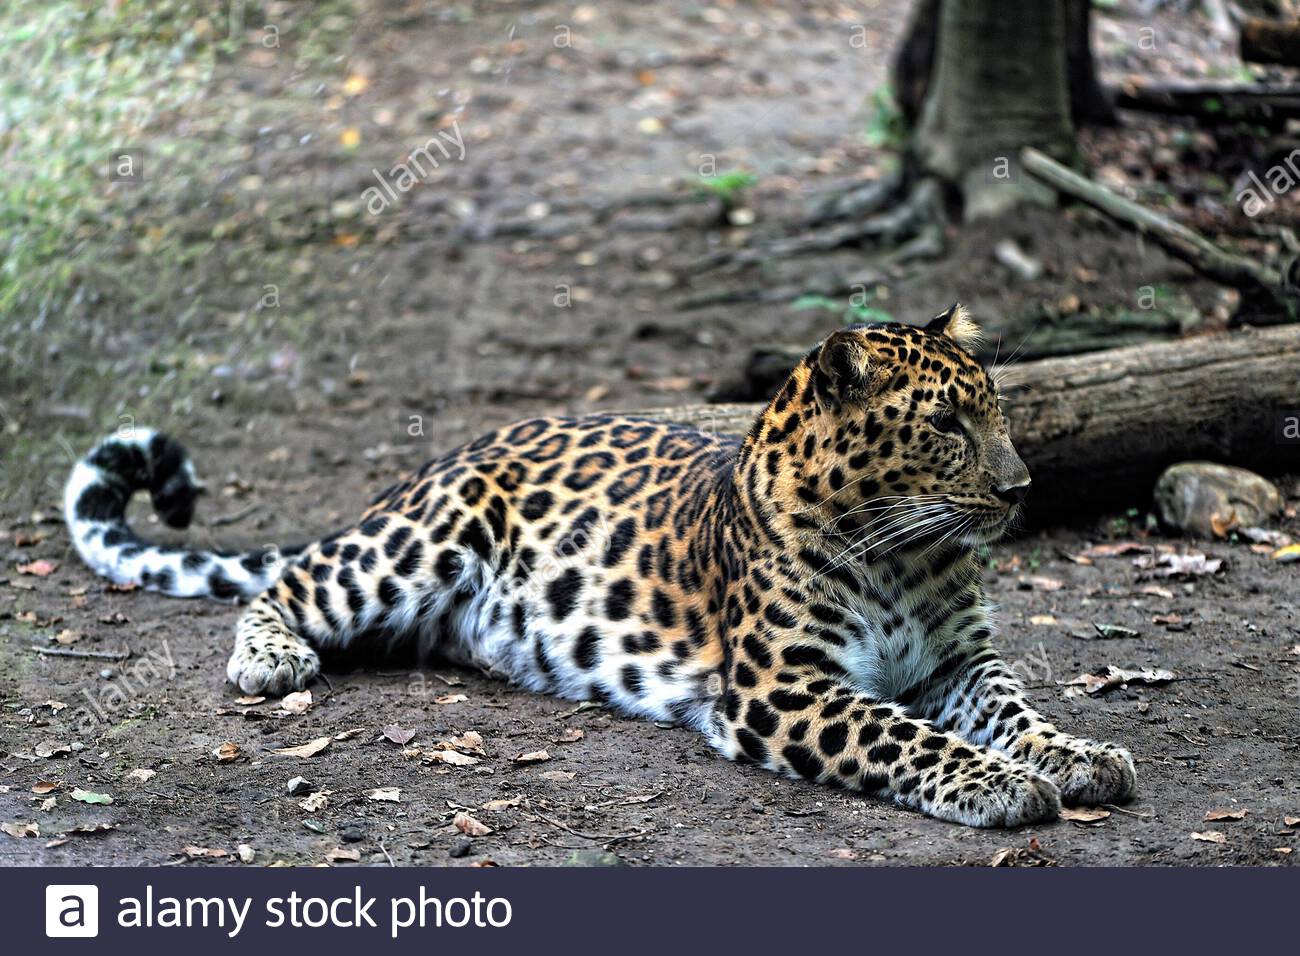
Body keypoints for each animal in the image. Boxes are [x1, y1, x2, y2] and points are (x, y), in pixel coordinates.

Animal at [63, 304, 1136, 828]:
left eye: (998, 411)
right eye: (948, 425)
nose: (1022, 489)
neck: (906, 557)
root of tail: (454, 449)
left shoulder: (959, 660)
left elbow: (1015, 710)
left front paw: (1078, 754)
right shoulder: (786, 689)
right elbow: (904, 735)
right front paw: (995, 785)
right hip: (411, 547)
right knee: (284, 585)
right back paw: (271, 658)